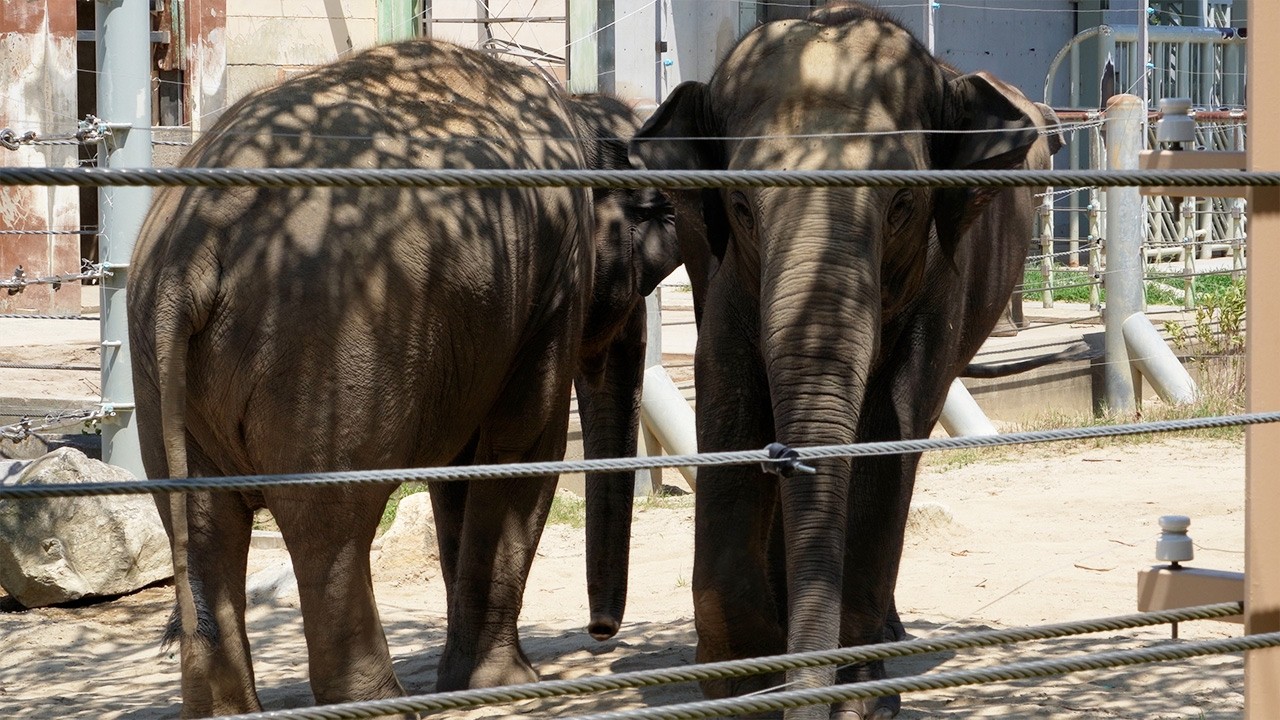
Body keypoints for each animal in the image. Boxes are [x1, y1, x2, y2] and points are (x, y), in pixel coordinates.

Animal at [127, 39, 678, 716]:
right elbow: (524, 449)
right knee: (331, 530)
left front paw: (465, 685)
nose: (601, 632)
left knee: (201, 525)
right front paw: (505, 684)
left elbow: (463, 470)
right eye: (649, 274)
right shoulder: (552, 281)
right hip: (327, 350)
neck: (578, 109)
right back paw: (381, 700)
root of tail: (192, 247)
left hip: (160, 368)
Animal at [630, 3, 1060, 718]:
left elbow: (890, 423)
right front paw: (740, 688)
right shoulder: (725, 278)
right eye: (740, 205)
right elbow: (730, 405)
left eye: (903, 203)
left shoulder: (939, 282)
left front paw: (855, 699)